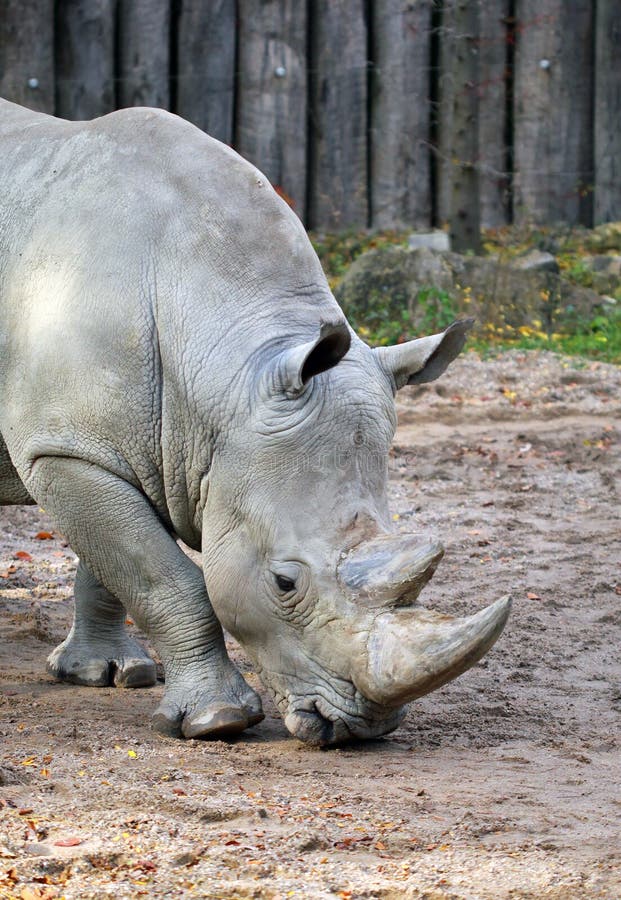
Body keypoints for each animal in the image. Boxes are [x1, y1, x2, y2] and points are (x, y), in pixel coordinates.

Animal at [0, 99, 510, 745]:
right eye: (284, 583)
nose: (359, 729)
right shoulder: (65, 448)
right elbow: (164, 576)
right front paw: (217, 721)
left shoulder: (136, 447)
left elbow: (114, 567)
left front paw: (106, 672)